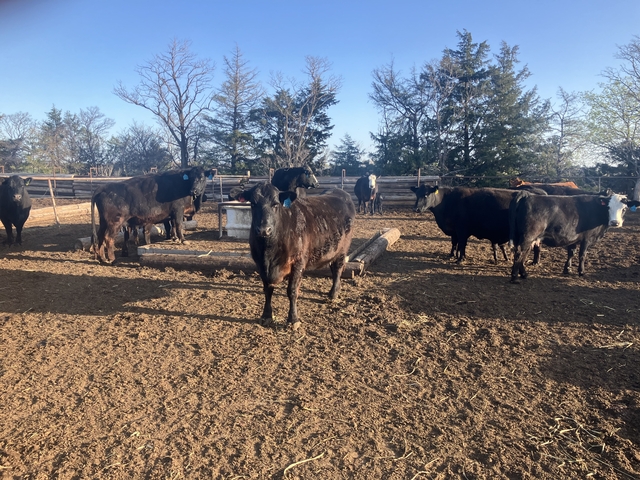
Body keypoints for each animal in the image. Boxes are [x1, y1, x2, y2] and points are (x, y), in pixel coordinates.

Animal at [233, 182, 355, 330]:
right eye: (253, 203)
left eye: (276, 204)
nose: (263, 230)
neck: (269, 253)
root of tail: (340, 192)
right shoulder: (260, 264)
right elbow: (267, 290)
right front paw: (266, 316)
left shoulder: (298, 262)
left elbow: (292, 291)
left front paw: (293, 319)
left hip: (343, 248)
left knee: (337, 269)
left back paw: (333, 294)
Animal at [410, 185, 546, 264]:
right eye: (416, 194)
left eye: (426, 195)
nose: (416, 209)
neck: (447, 201)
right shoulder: (454, 230)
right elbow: (455, 243)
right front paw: (452, 255)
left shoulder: (462, 229)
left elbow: (462, 244)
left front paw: (460, 258)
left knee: (537, 246)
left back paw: (535, 262)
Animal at [509, 192, 638, 282]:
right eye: (608, 207)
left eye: (624, 209)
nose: (615, 222)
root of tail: (528, 196)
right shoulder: (587, 238)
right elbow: (582, 255)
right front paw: (581, 272)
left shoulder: (572, 238)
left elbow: (571, 253)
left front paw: (567, 269)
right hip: (528, 236)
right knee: (519, 253)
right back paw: (514, 277)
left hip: (526, 238)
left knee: (523, 254)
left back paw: (524, 274)